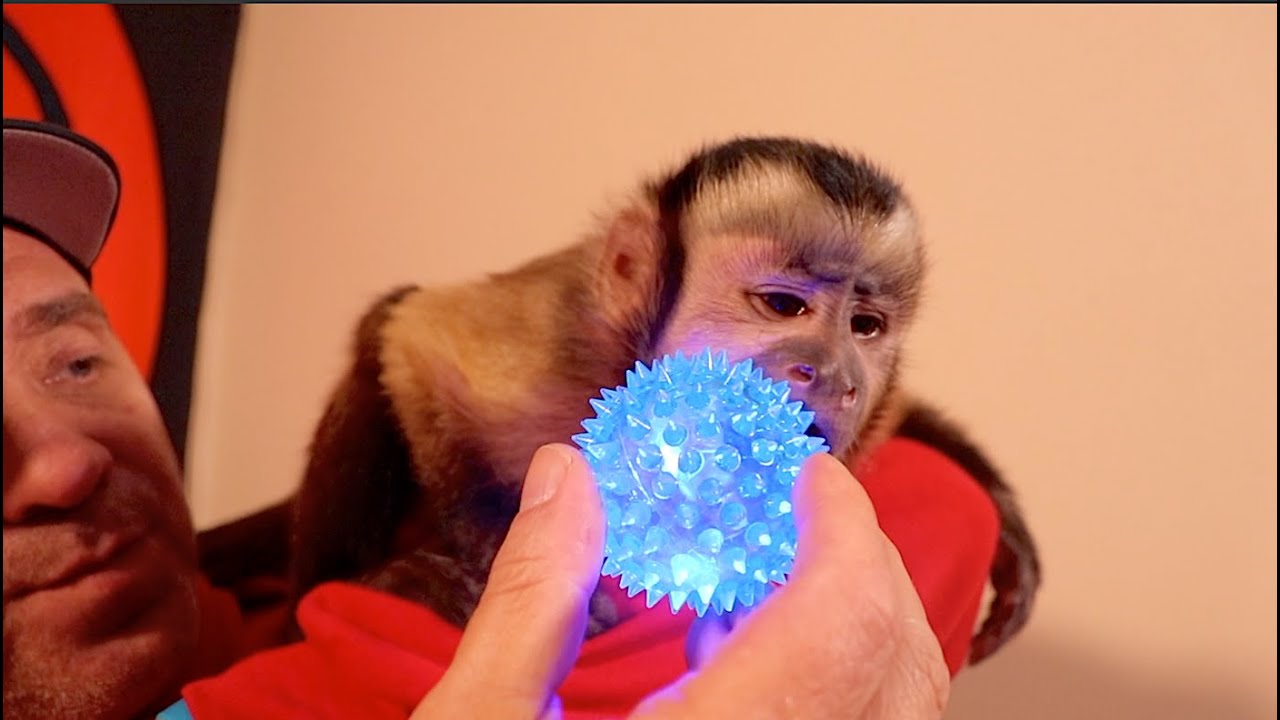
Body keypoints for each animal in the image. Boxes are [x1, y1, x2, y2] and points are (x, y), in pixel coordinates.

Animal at [290, 136, 1039, 665]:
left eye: (866, 327)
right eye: (783, 306)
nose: (833, 375)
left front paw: (1008, 523)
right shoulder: (563, 347)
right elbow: (414, 341)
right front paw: (505, 550)